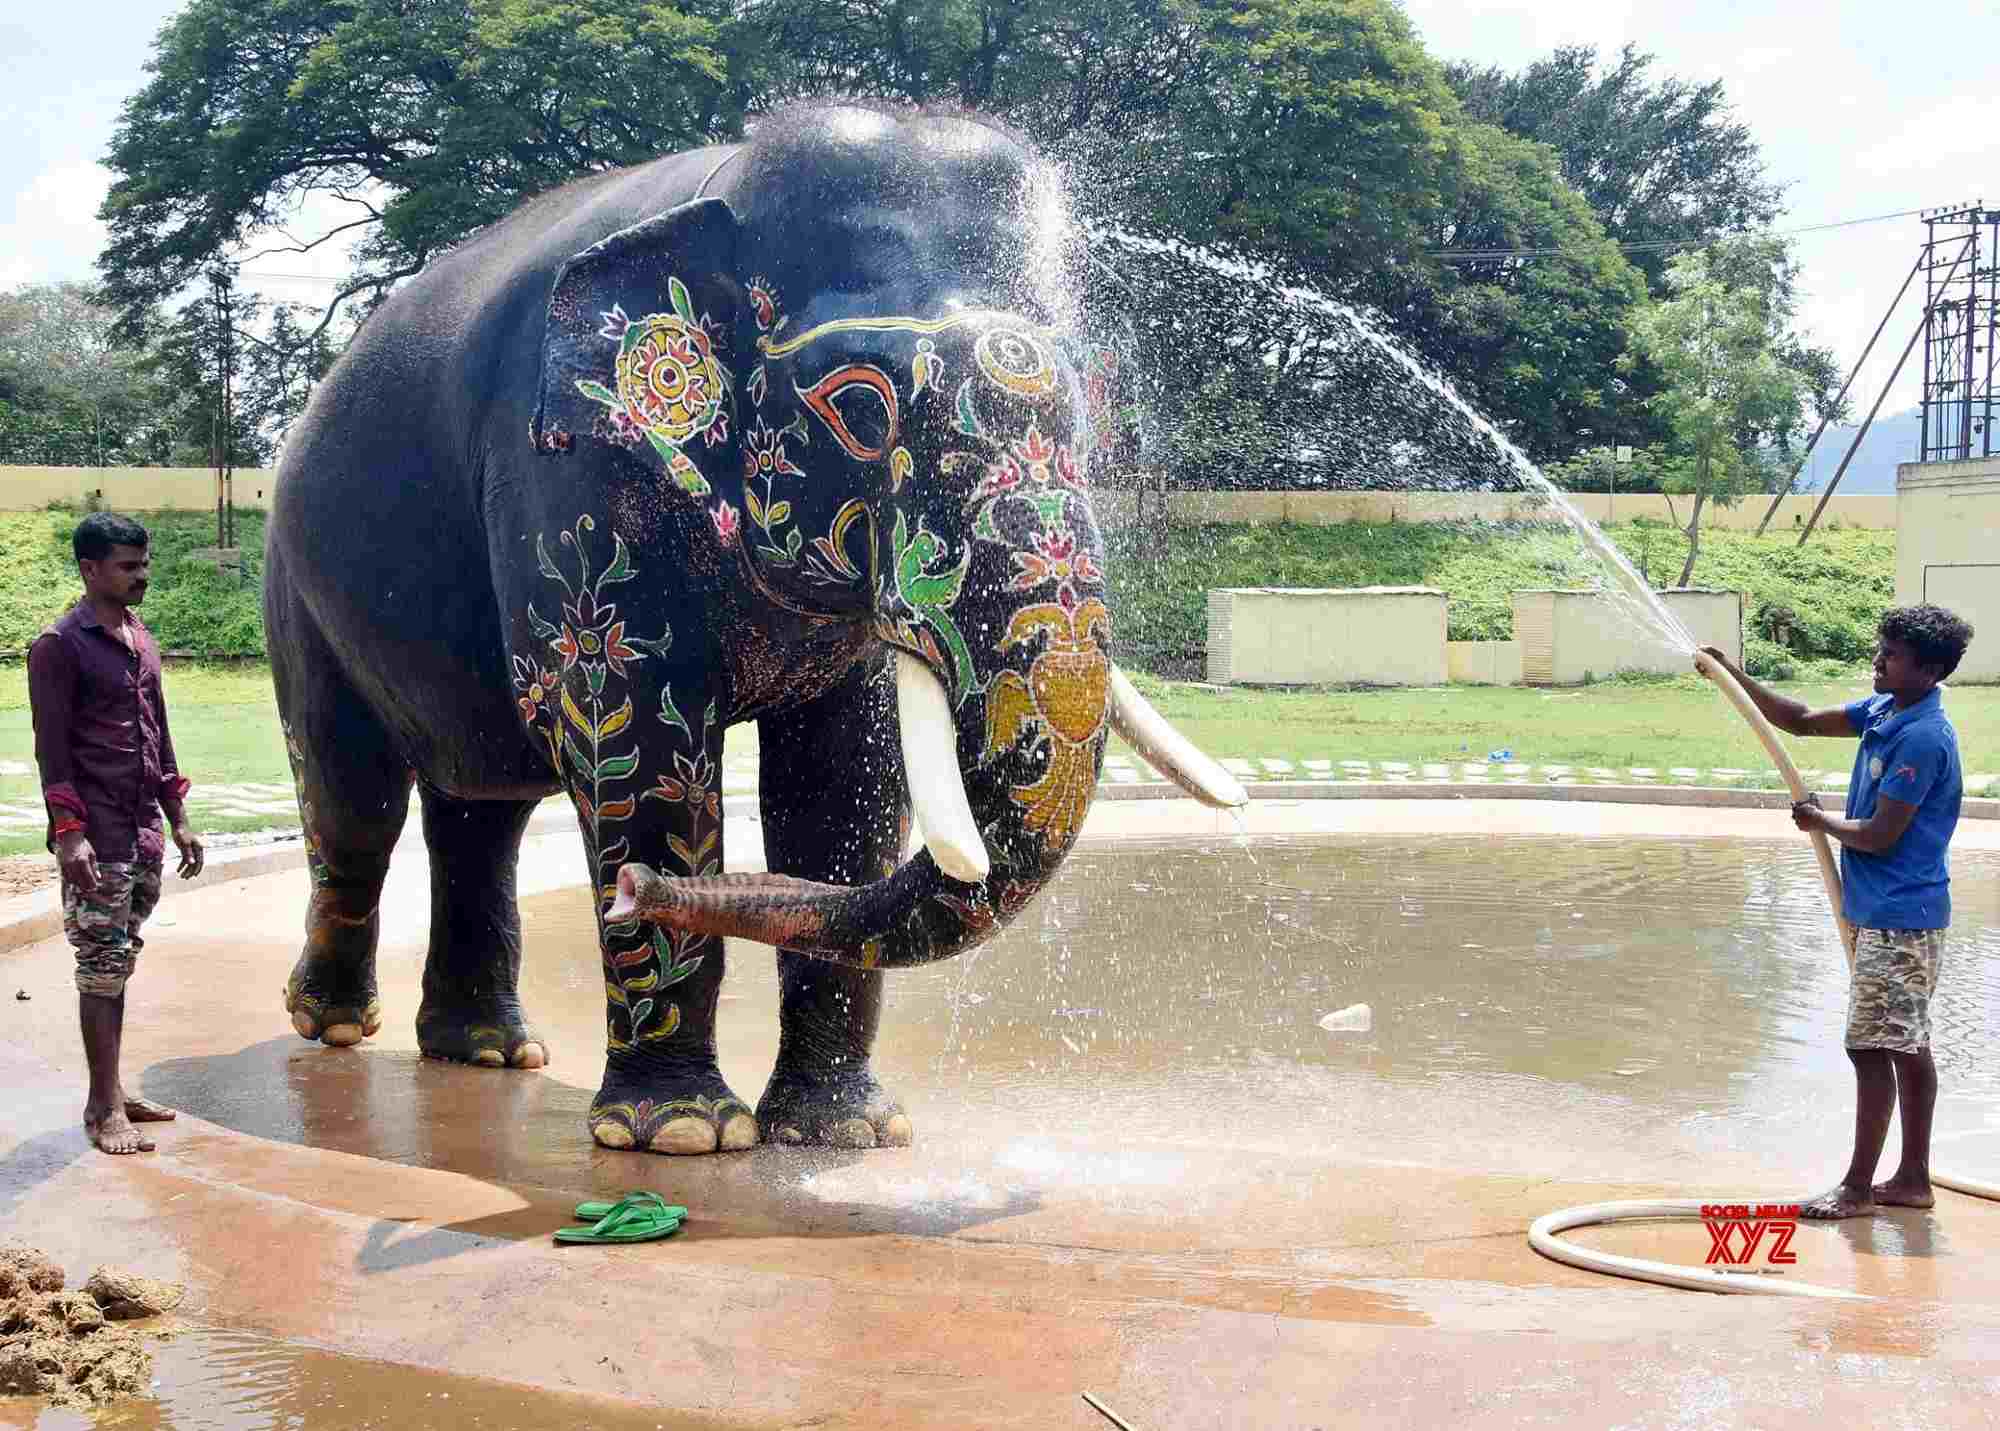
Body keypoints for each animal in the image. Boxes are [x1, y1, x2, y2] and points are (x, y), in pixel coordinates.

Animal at [265, 101, 1245, 1156]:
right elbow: (634, 748)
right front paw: (682, 1134)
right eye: (858, 408)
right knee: (355, 801)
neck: (728, 181)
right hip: (298, 582)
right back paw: (335, 1027)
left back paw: (487, 1050)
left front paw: (843, 1132)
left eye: (1090, 416)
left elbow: (846, 775)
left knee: (482, 811)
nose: (632, 889)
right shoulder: (576, 485)